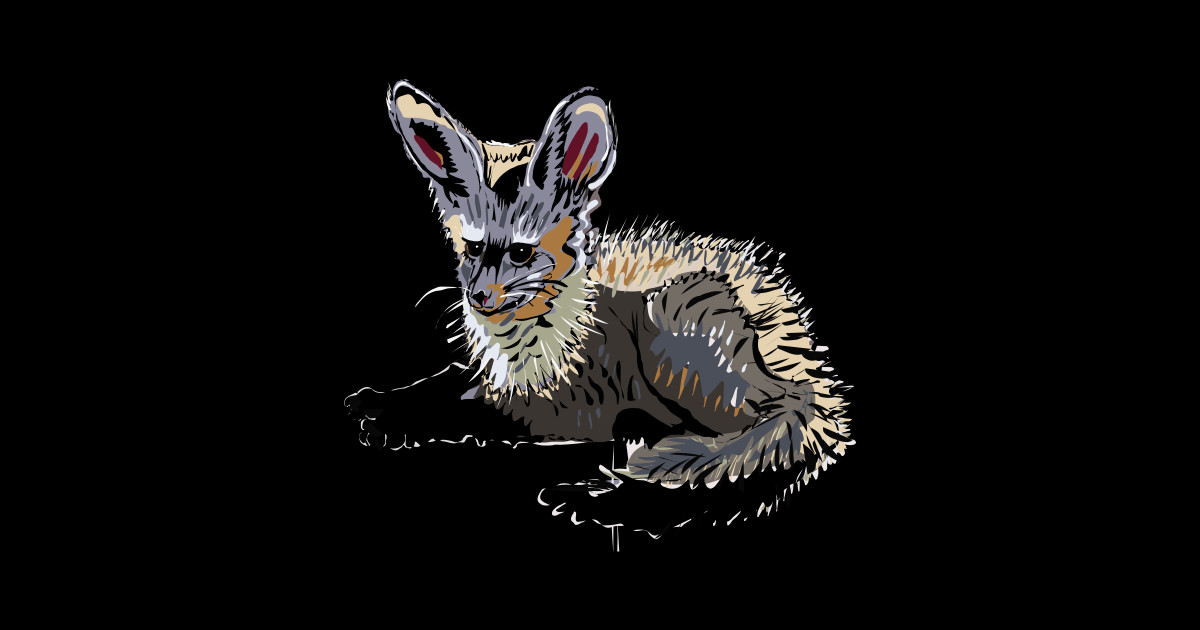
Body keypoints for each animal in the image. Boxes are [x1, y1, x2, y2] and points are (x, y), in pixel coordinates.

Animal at [346, 81, 853, 535]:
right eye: (471, 248)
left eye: (521, 253)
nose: (479, 298)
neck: (528, 349)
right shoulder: (498, 379)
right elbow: (445, 380)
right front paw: (381, 402)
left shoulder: (563, 408)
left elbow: (470, 411)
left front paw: (398, 420)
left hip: (670, 332)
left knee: (756, 432)